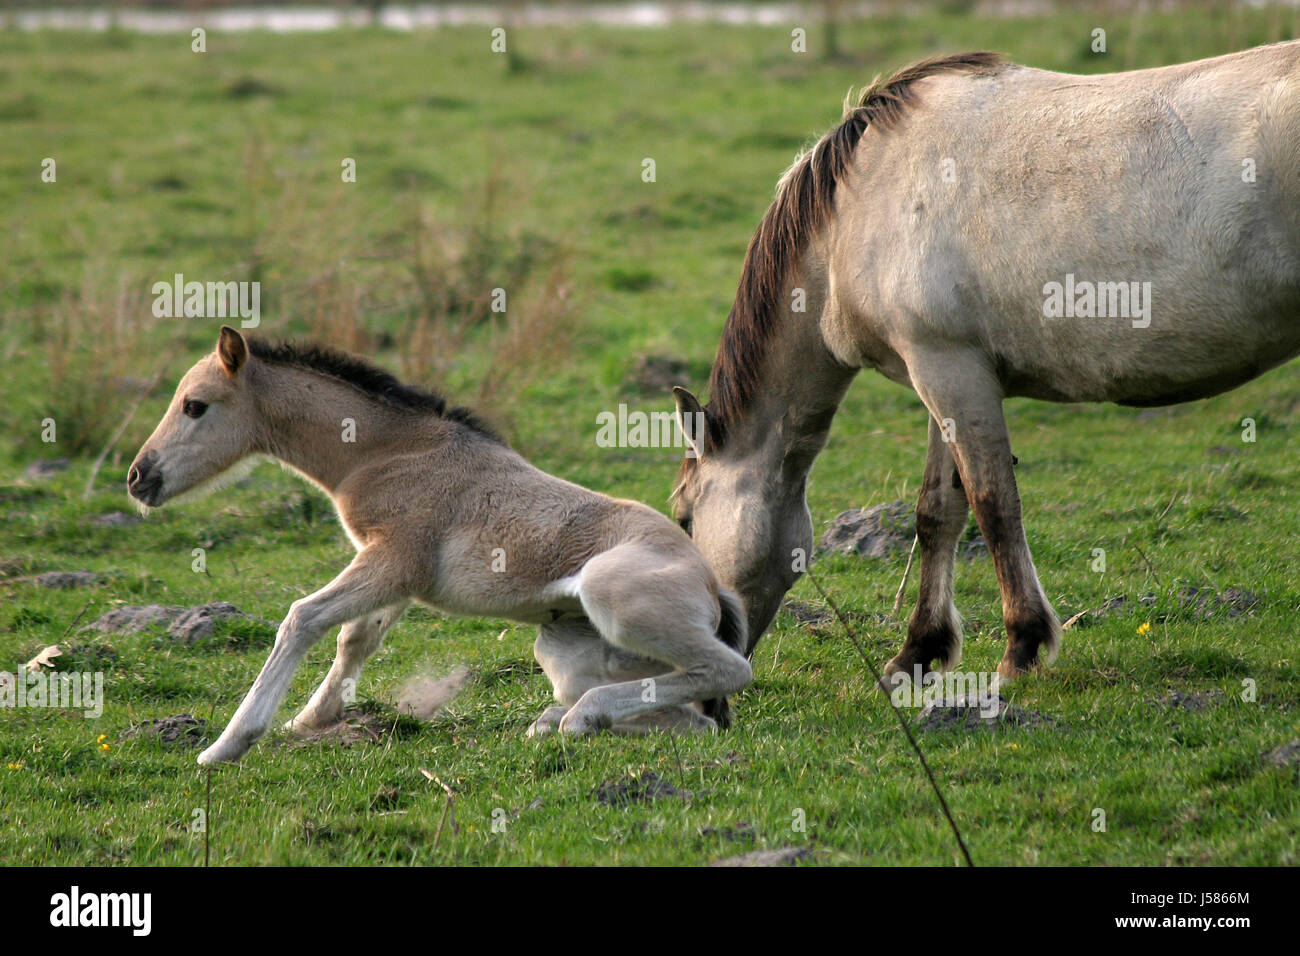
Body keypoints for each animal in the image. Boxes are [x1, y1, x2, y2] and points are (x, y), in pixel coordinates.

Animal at [128, 327, 751, 765]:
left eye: (194, 405)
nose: (138, 477)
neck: (387, 453)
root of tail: (713, 588)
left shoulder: (391, 560)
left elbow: (303, 619)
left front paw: (228, 744)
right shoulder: (394, 575)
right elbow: (356, 639)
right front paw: (309, 722)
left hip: (610, 596)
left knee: (727, 671)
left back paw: (577, 718)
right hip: (564, 650)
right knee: (693, 716)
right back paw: (559, 719)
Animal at [670, 43, 1300, 684]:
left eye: (684, 521)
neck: (859, 207)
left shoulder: (951, 373)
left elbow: (994, 505)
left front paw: (1021, 646)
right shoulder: (940, 377)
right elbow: (937, 511)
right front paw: (919, 651)